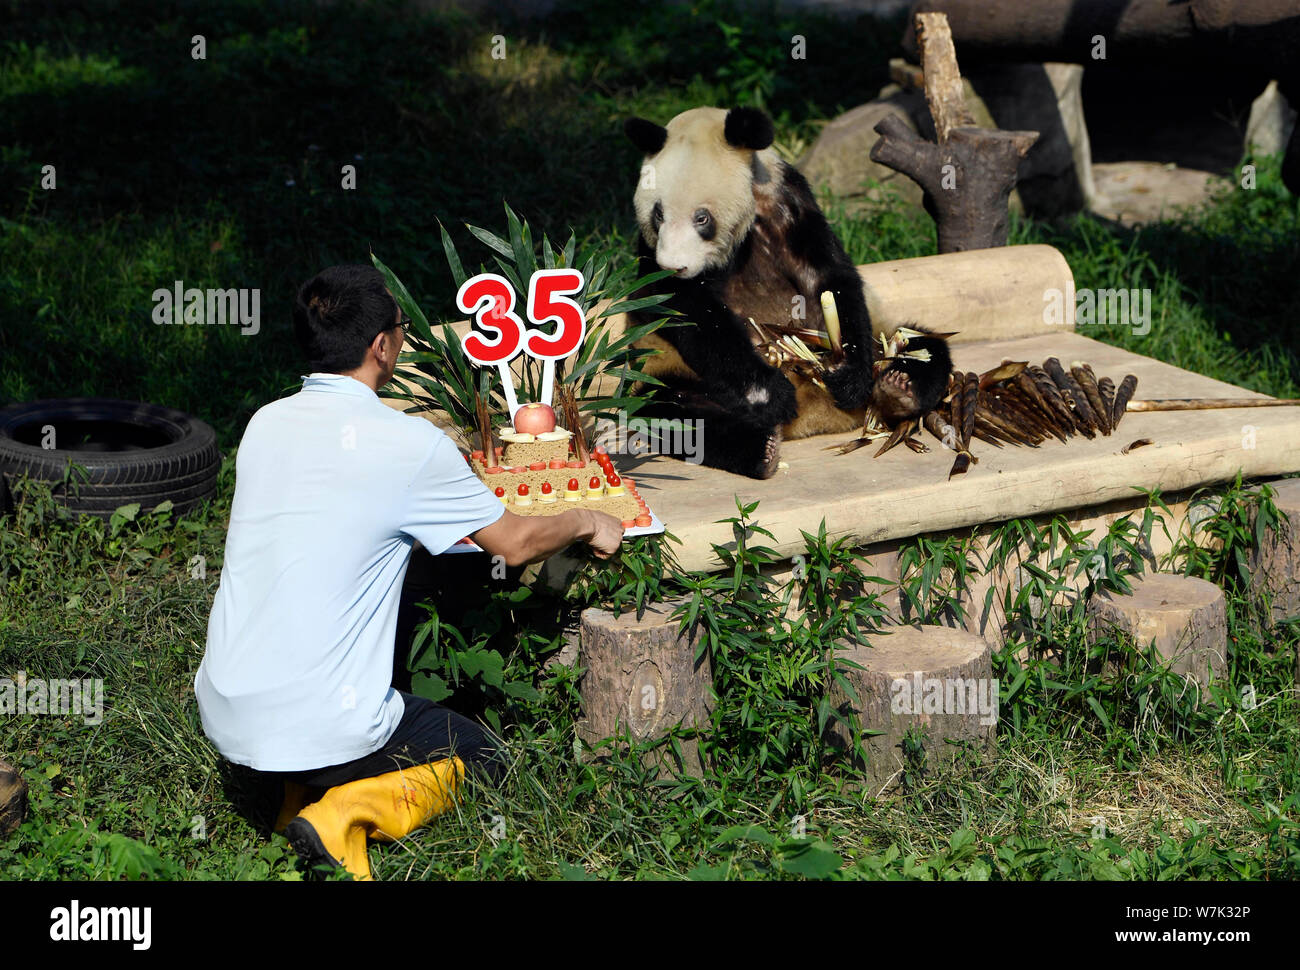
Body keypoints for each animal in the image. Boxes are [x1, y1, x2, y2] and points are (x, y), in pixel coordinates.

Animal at [622, 106, 952, 479]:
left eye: (701, 218)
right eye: (658, 214)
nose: (673, 266)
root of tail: (815, 414)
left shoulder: (790, 201)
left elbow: (829, 279)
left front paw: (848, 378)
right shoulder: (651, 256)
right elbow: (683, 309)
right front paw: (770, 394)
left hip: (883, 337)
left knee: (923, 345)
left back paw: (899, 386)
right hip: (668, 371)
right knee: (670, 410)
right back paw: (762, 447)